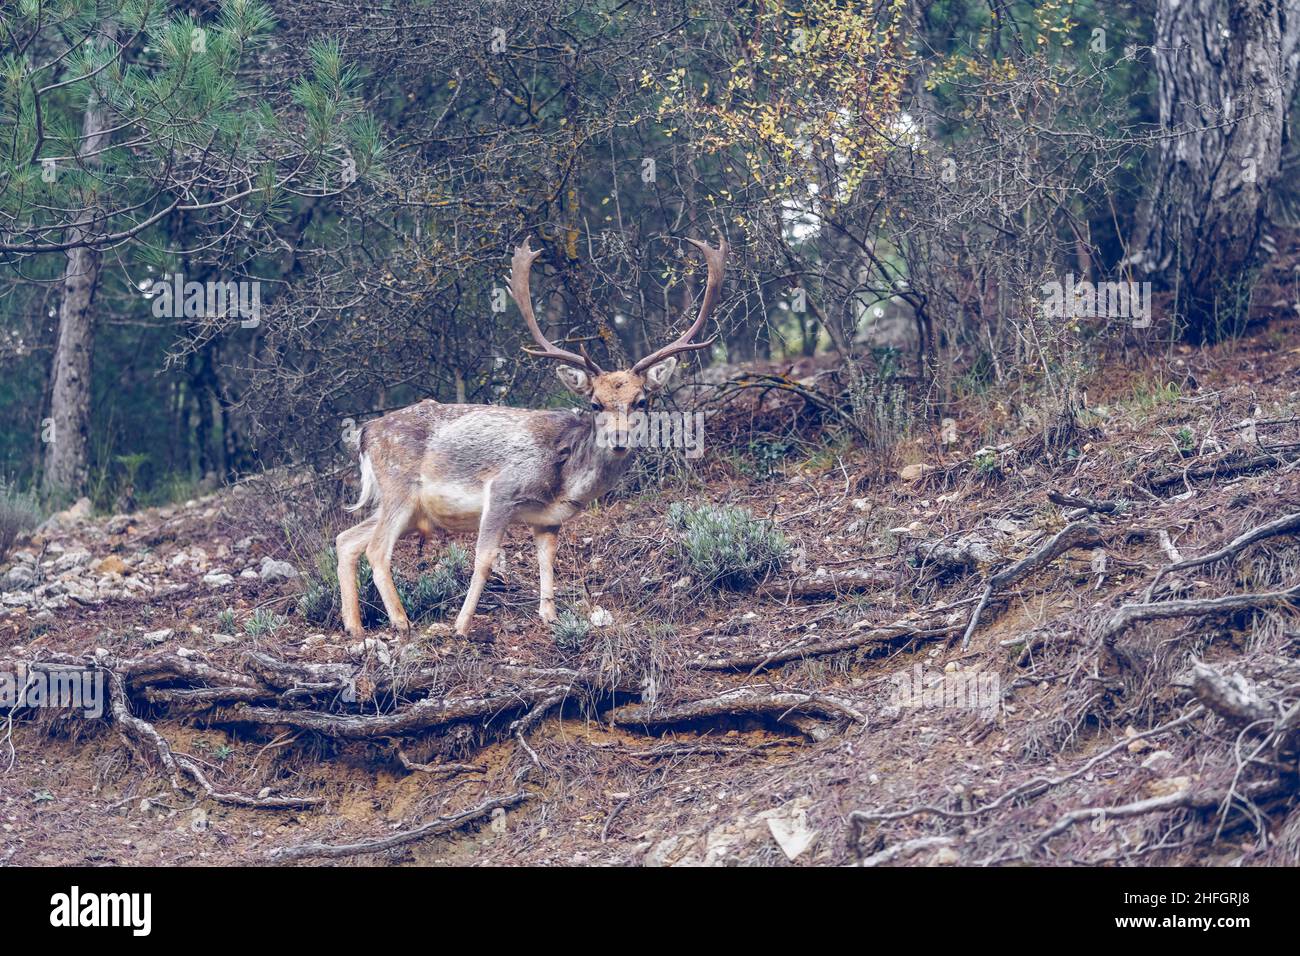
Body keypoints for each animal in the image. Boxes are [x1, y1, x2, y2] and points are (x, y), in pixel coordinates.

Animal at [336, 235, 727, 638]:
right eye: (595, 403)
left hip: (408, 508)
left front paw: (550, 616)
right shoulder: (503, 490)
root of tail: (365, 432)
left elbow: (547, 560)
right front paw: (461, 625)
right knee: (376, 548)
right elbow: (484, 558)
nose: (619, 439)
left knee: (345, 540)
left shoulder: (547, 519)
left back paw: (355, 626)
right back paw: (401, 621)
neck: (565, 480)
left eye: (642, 400)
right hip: (398, 486)